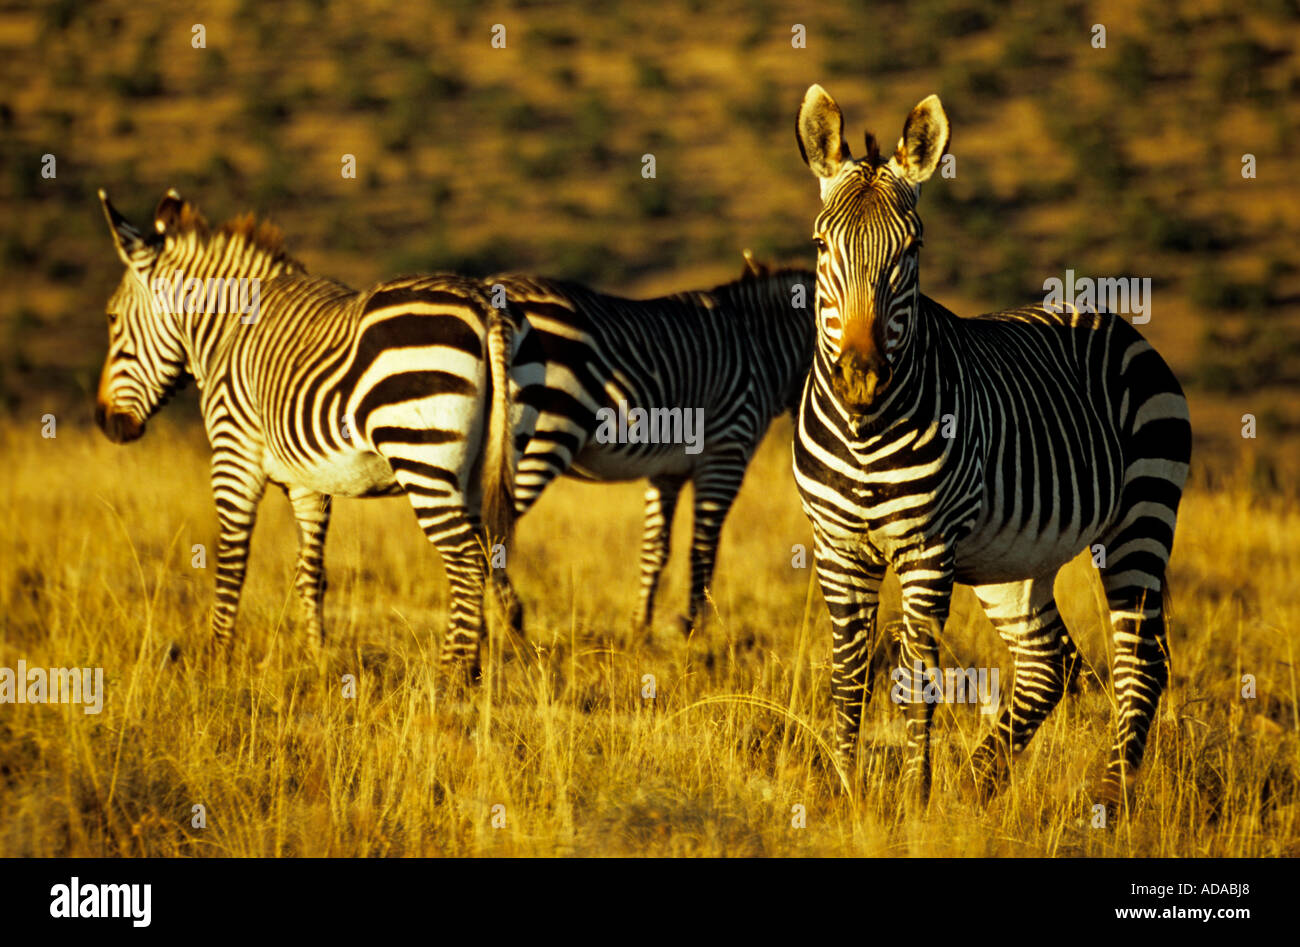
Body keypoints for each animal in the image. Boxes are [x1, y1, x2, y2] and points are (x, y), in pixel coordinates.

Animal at [95, 189, 538, 678]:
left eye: (112, 318)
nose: (104, 421)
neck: (229, 328)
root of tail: (484, 305)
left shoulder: (234, 457)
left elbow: (231, 563)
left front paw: (217, 660)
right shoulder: (309, 481)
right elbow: (310, 571)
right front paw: (317, 658)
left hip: (422, 454)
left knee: (465, 561)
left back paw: (451, 677)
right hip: (486, 462)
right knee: (486, 556)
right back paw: (476, 668)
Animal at [485, 253, 816, 634]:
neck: (762, 349)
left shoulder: (668, 470)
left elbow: (655, 547)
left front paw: (640, 627)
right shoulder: (726, 452)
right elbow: (703, 546)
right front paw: (694, 628)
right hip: (543, 437)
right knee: (490, 528)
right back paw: (508, 616)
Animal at [792, 85, 1191, 809]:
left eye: (912, 248)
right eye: (820, 243)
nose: (861, 376)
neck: (865, 432)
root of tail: (1104, 315)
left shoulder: (927, 548)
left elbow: (916, 679)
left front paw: (914, 802)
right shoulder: (837, 547)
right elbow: (847, 677)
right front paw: (845, 793)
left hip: (1143, 515)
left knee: (1141, 659)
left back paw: (1109, 801)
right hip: (1015, 558)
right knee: (1048, 662)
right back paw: (978, 785)